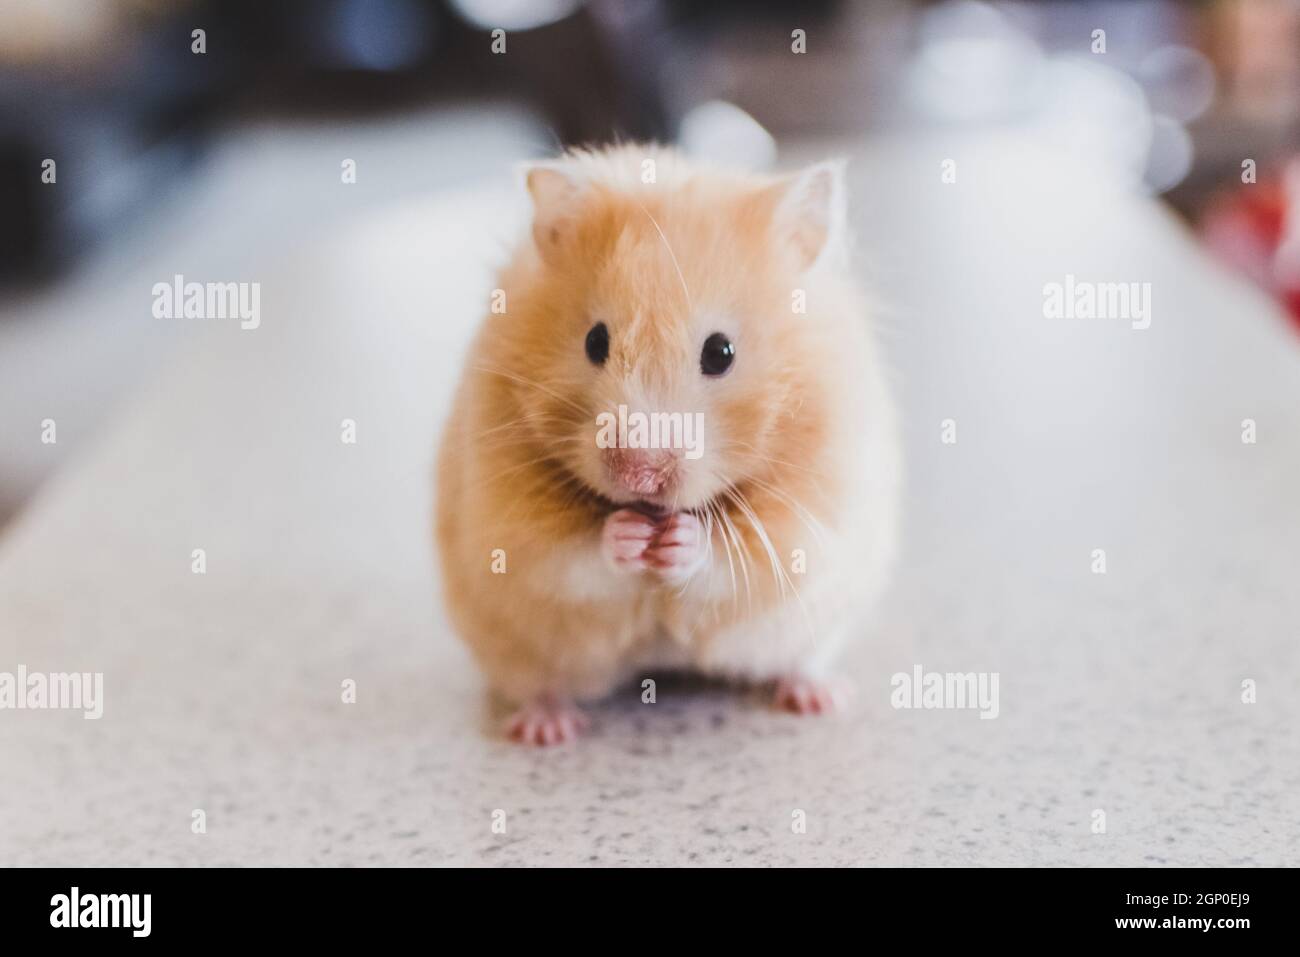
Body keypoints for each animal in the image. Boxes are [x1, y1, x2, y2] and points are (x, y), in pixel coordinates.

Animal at [436, 144, 900, 745]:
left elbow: (734, 559)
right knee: (540, 683)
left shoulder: (812, 516)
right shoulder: (509, 526)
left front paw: (679, 540)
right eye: (595, 341)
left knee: (800, 660)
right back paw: (546, 729)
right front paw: (628, 535)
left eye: (721, 352)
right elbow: (570, 556)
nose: (639, 476)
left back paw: (820, 697)